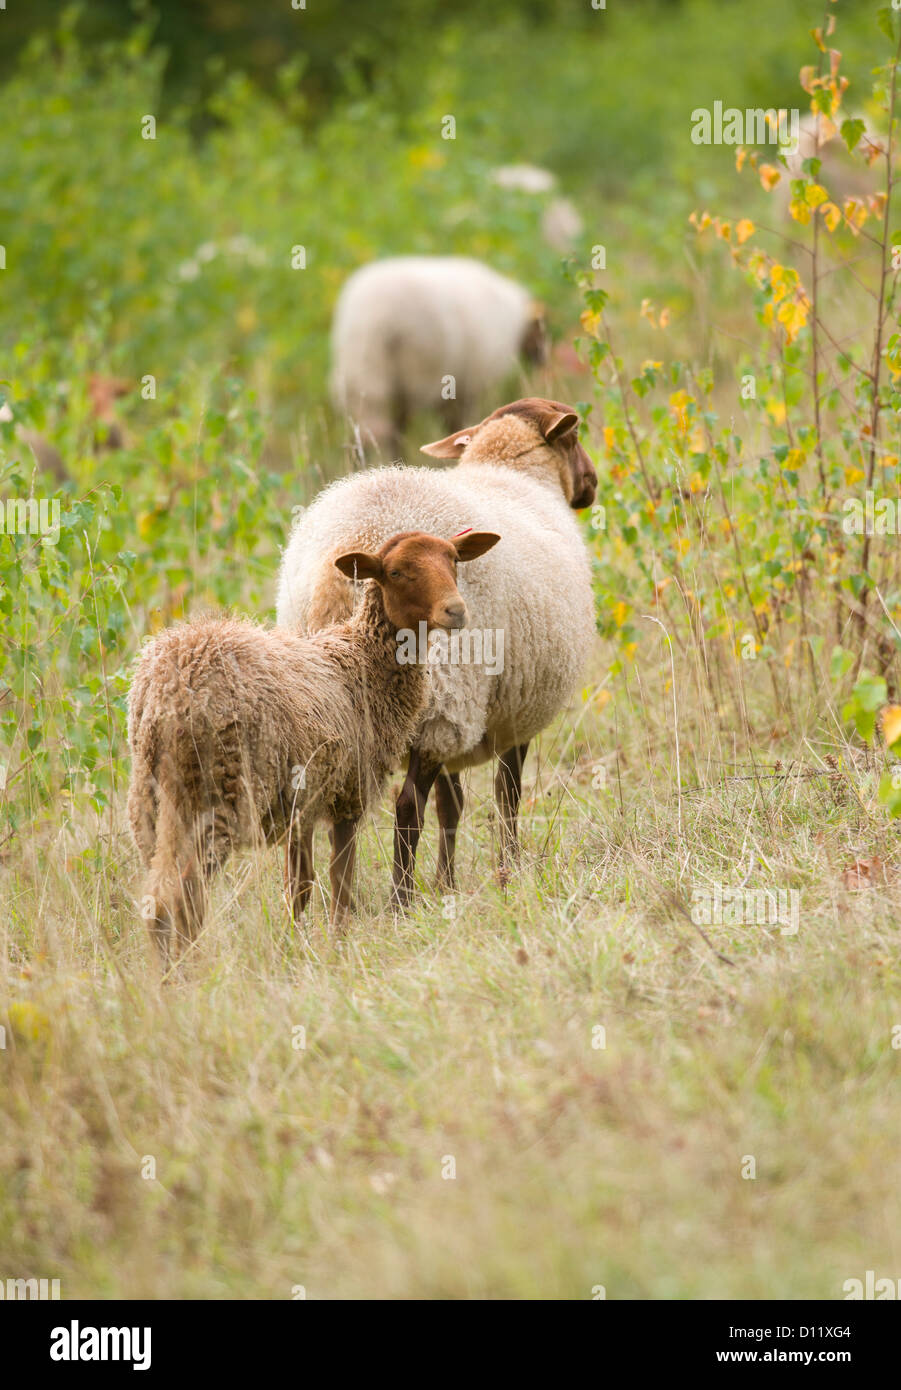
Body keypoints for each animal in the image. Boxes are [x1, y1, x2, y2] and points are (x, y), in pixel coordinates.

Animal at [128, 528, 500, 966]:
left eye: (453, 561)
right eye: (395, 572)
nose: (455, 611)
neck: (360, 660)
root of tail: (166, 690)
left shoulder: (302, 804)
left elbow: (300, 885)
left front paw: (293, 944)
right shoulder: (348, 793)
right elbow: (341, 882)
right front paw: (338, 943)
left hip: (154, 802)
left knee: (157, 900)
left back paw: (165, 972)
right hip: (220, 792)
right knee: (185, 894)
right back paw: (189, 972)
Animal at [276, 396, 598, 903]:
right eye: (574, 437)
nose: (592, 485)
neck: (515, 472)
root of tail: (346, 552)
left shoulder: (469, 714)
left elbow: (454, 803)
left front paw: (447, 883)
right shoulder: (509, 710)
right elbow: (507, 795)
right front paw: (509, 872)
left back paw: (307, 897)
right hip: (444, 696)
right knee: (408, 807)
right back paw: (399, 900)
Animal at [329, 256, 547, 453]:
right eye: (541, 329)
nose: (542, 361)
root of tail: (378, 317)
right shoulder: (466, 386)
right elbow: (457, 425)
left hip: (363, 369)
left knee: (370, 429)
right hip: (415, 372)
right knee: (385, 429)